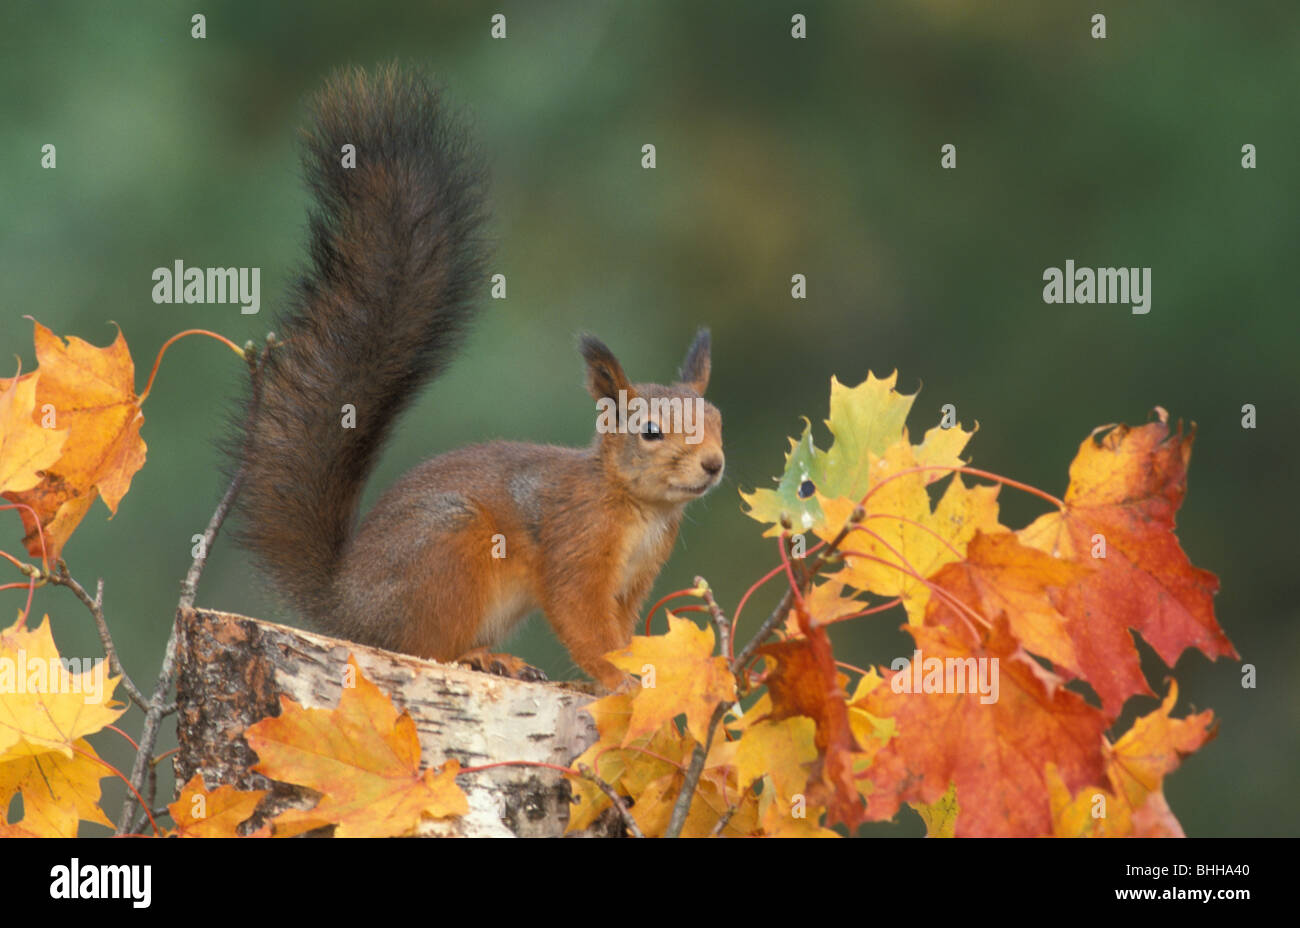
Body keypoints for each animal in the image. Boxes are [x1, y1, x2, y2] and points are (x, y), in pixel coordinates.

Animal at [228, 65, 724, 691]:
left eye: (718, 422)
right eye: (652, 431)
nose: (713, 464)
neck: (638, 507)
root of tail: (346, 610)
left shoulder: (635, 581)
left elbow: (624, 631)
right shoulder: (574, 549)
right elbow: (584, 624)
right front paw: (621, 684)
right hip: (449, 549)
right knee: (423, 647)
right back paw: (481, 656)